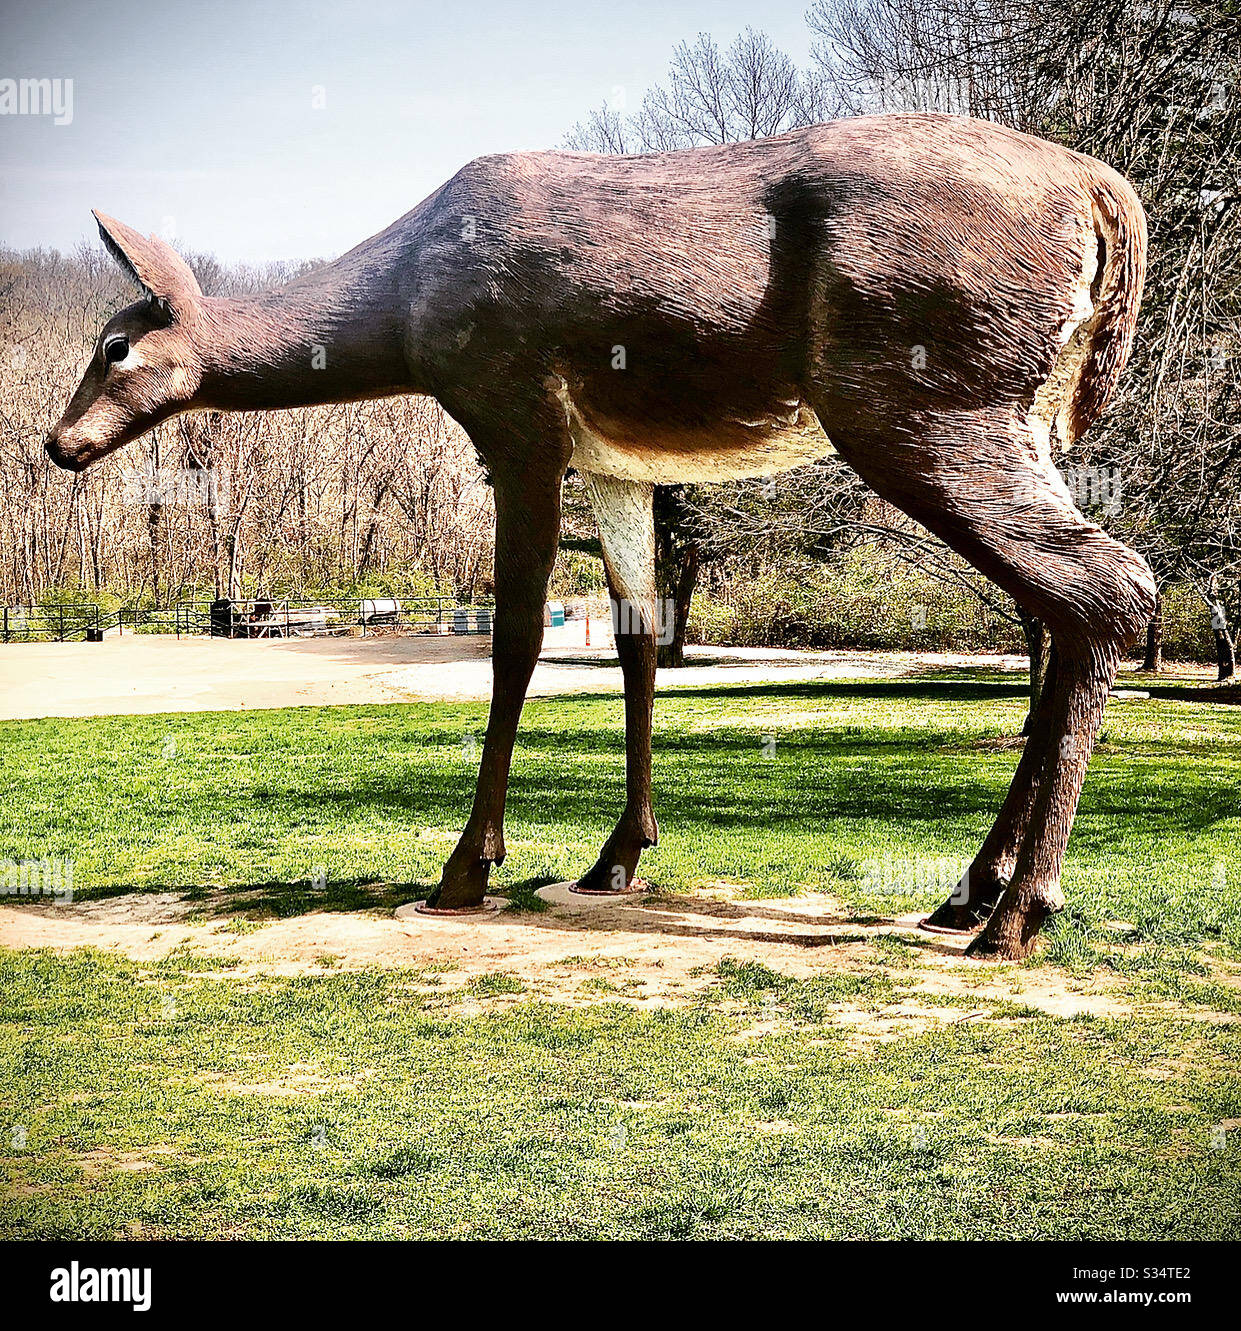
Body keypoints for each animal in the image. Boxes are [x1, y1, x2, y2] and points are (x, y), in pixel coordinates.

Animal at [46, 112, 1156, 959]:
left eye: (114, 346)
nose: (60, 443)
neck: (404, 307)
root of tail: (1107, 198)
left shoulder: (515, 415)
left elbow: (515, 635)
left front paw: (467, 863)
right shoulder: (618, 461)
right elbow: (635, 635)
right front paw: (618, 852)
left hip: (922, 398)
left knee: (1107, 583)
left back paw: (1014, 914)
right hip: (1014, 414)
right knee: (1072, 601)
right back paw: (968, 892)